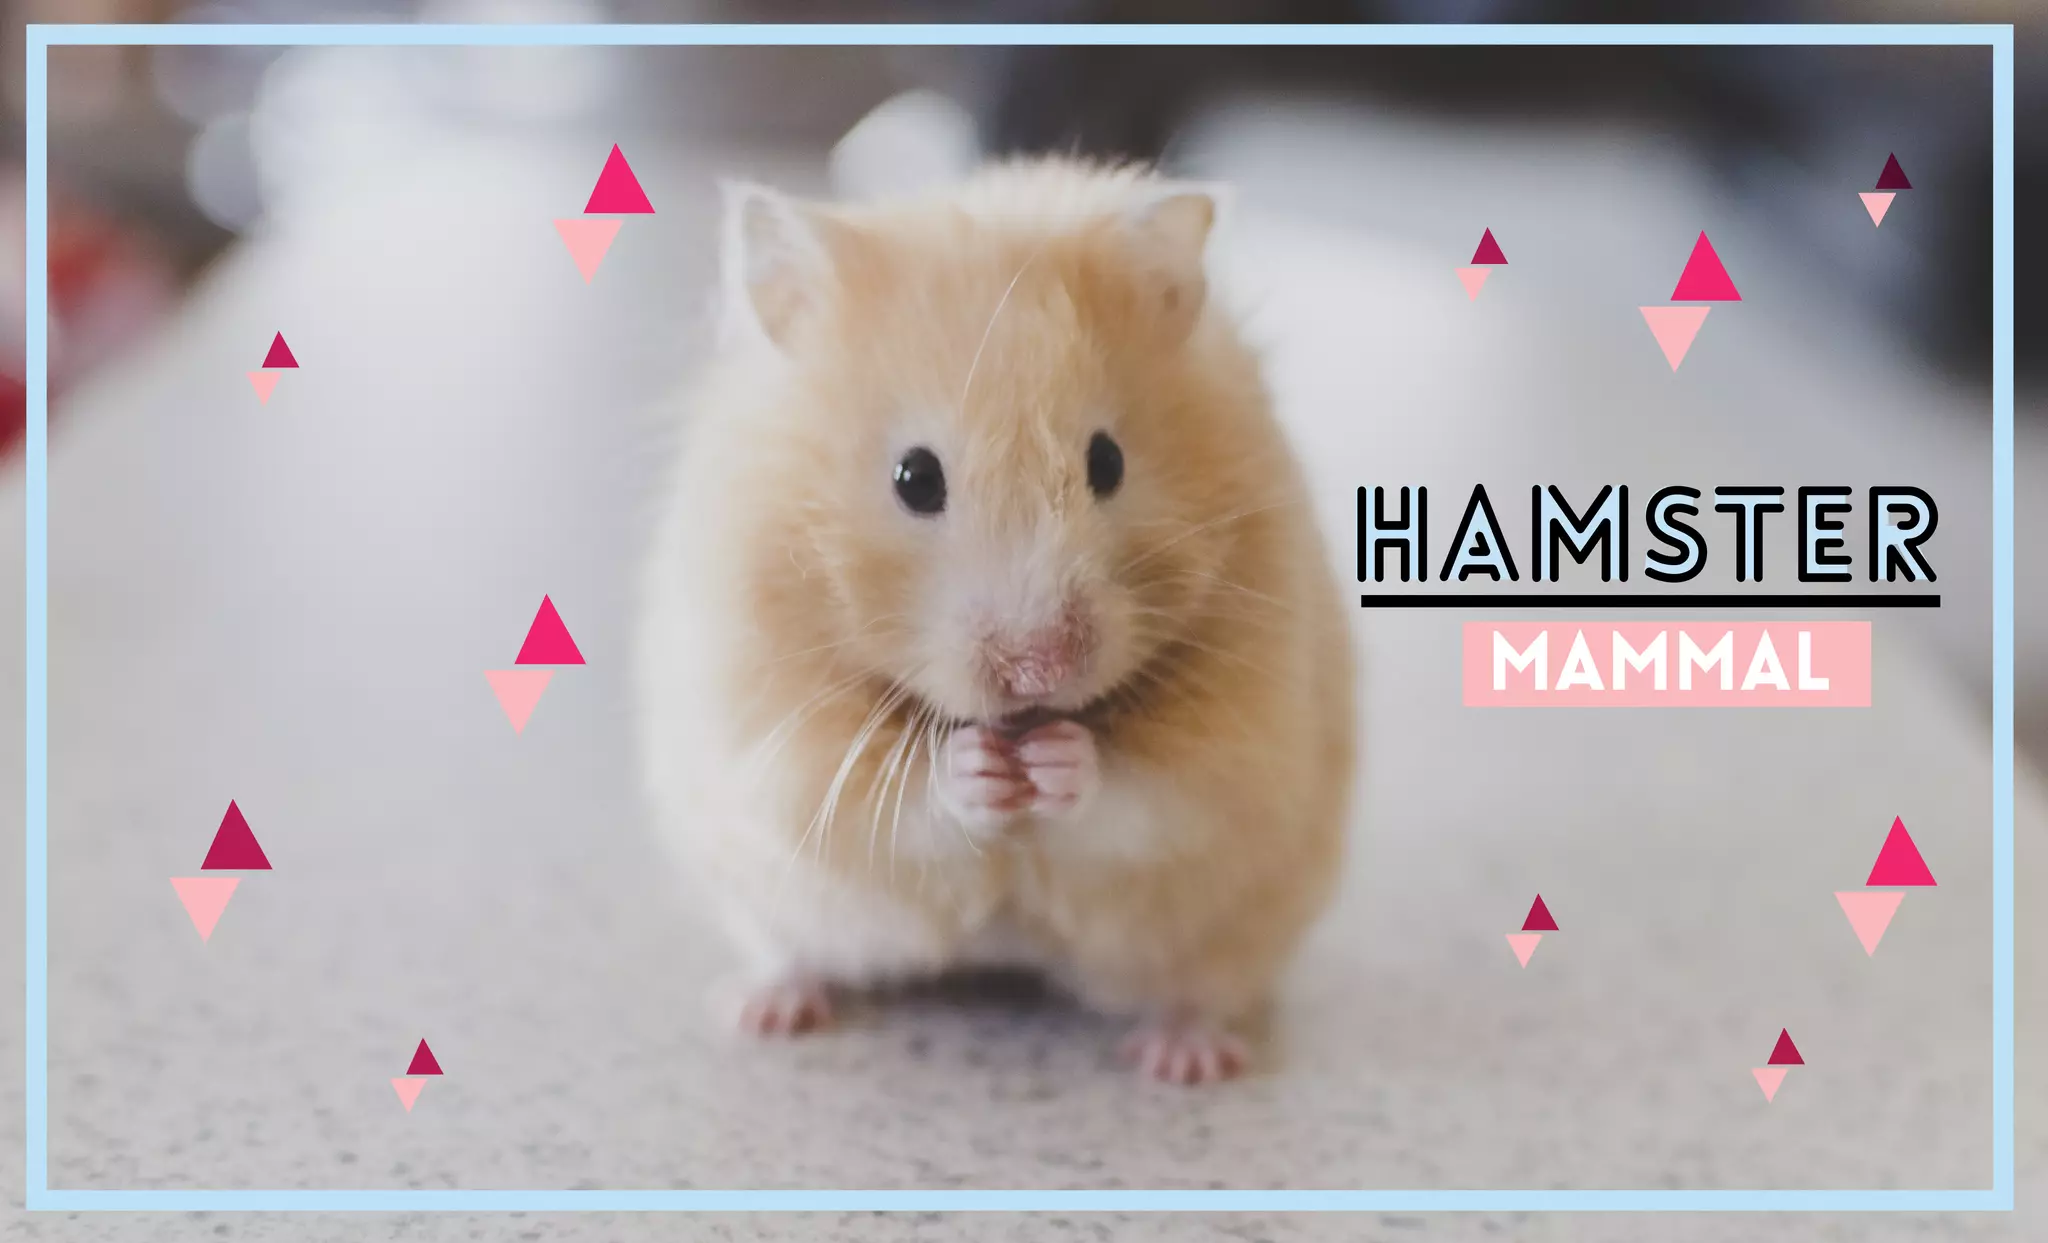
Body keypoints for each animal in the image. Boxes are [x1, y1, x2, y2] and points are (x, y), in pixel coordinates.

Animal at [635, 156, 1357, 1085]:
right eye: (914, 477)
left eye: (1107, 461)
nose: (1039, 668)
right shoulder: (773, 730)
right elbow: (891, 796)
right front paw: (980, 767)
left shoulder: (1245, 736)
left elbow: (1150, 791)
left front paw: (1056, 761)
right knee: (792, 951)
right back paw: (763, 1009)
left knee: (1200, 989)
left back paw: (1185, 1059)